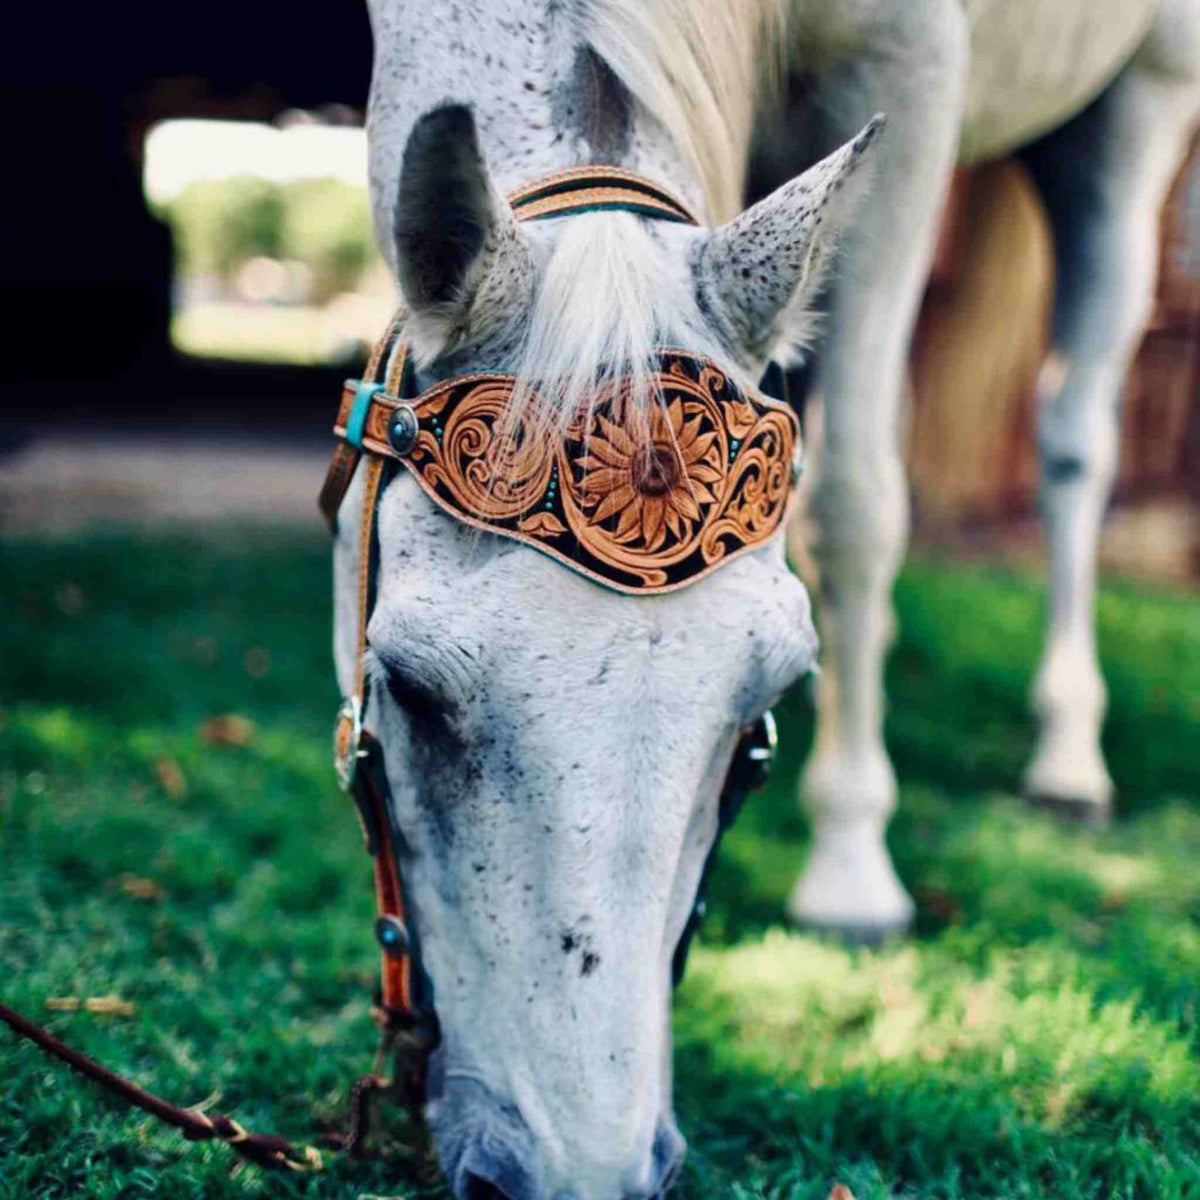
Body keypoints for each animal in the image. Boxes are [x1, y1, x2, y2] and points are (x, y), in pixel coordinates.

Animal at [340, 1, 1200, 1195]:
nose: (578, 1172)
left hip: (1139, 102)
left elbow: (852, 505)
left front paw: (850, 871)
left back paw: (1068, 756)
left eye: (766, 700)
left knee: (1074, 434)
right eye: (411, 689)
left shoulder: (911, 71)